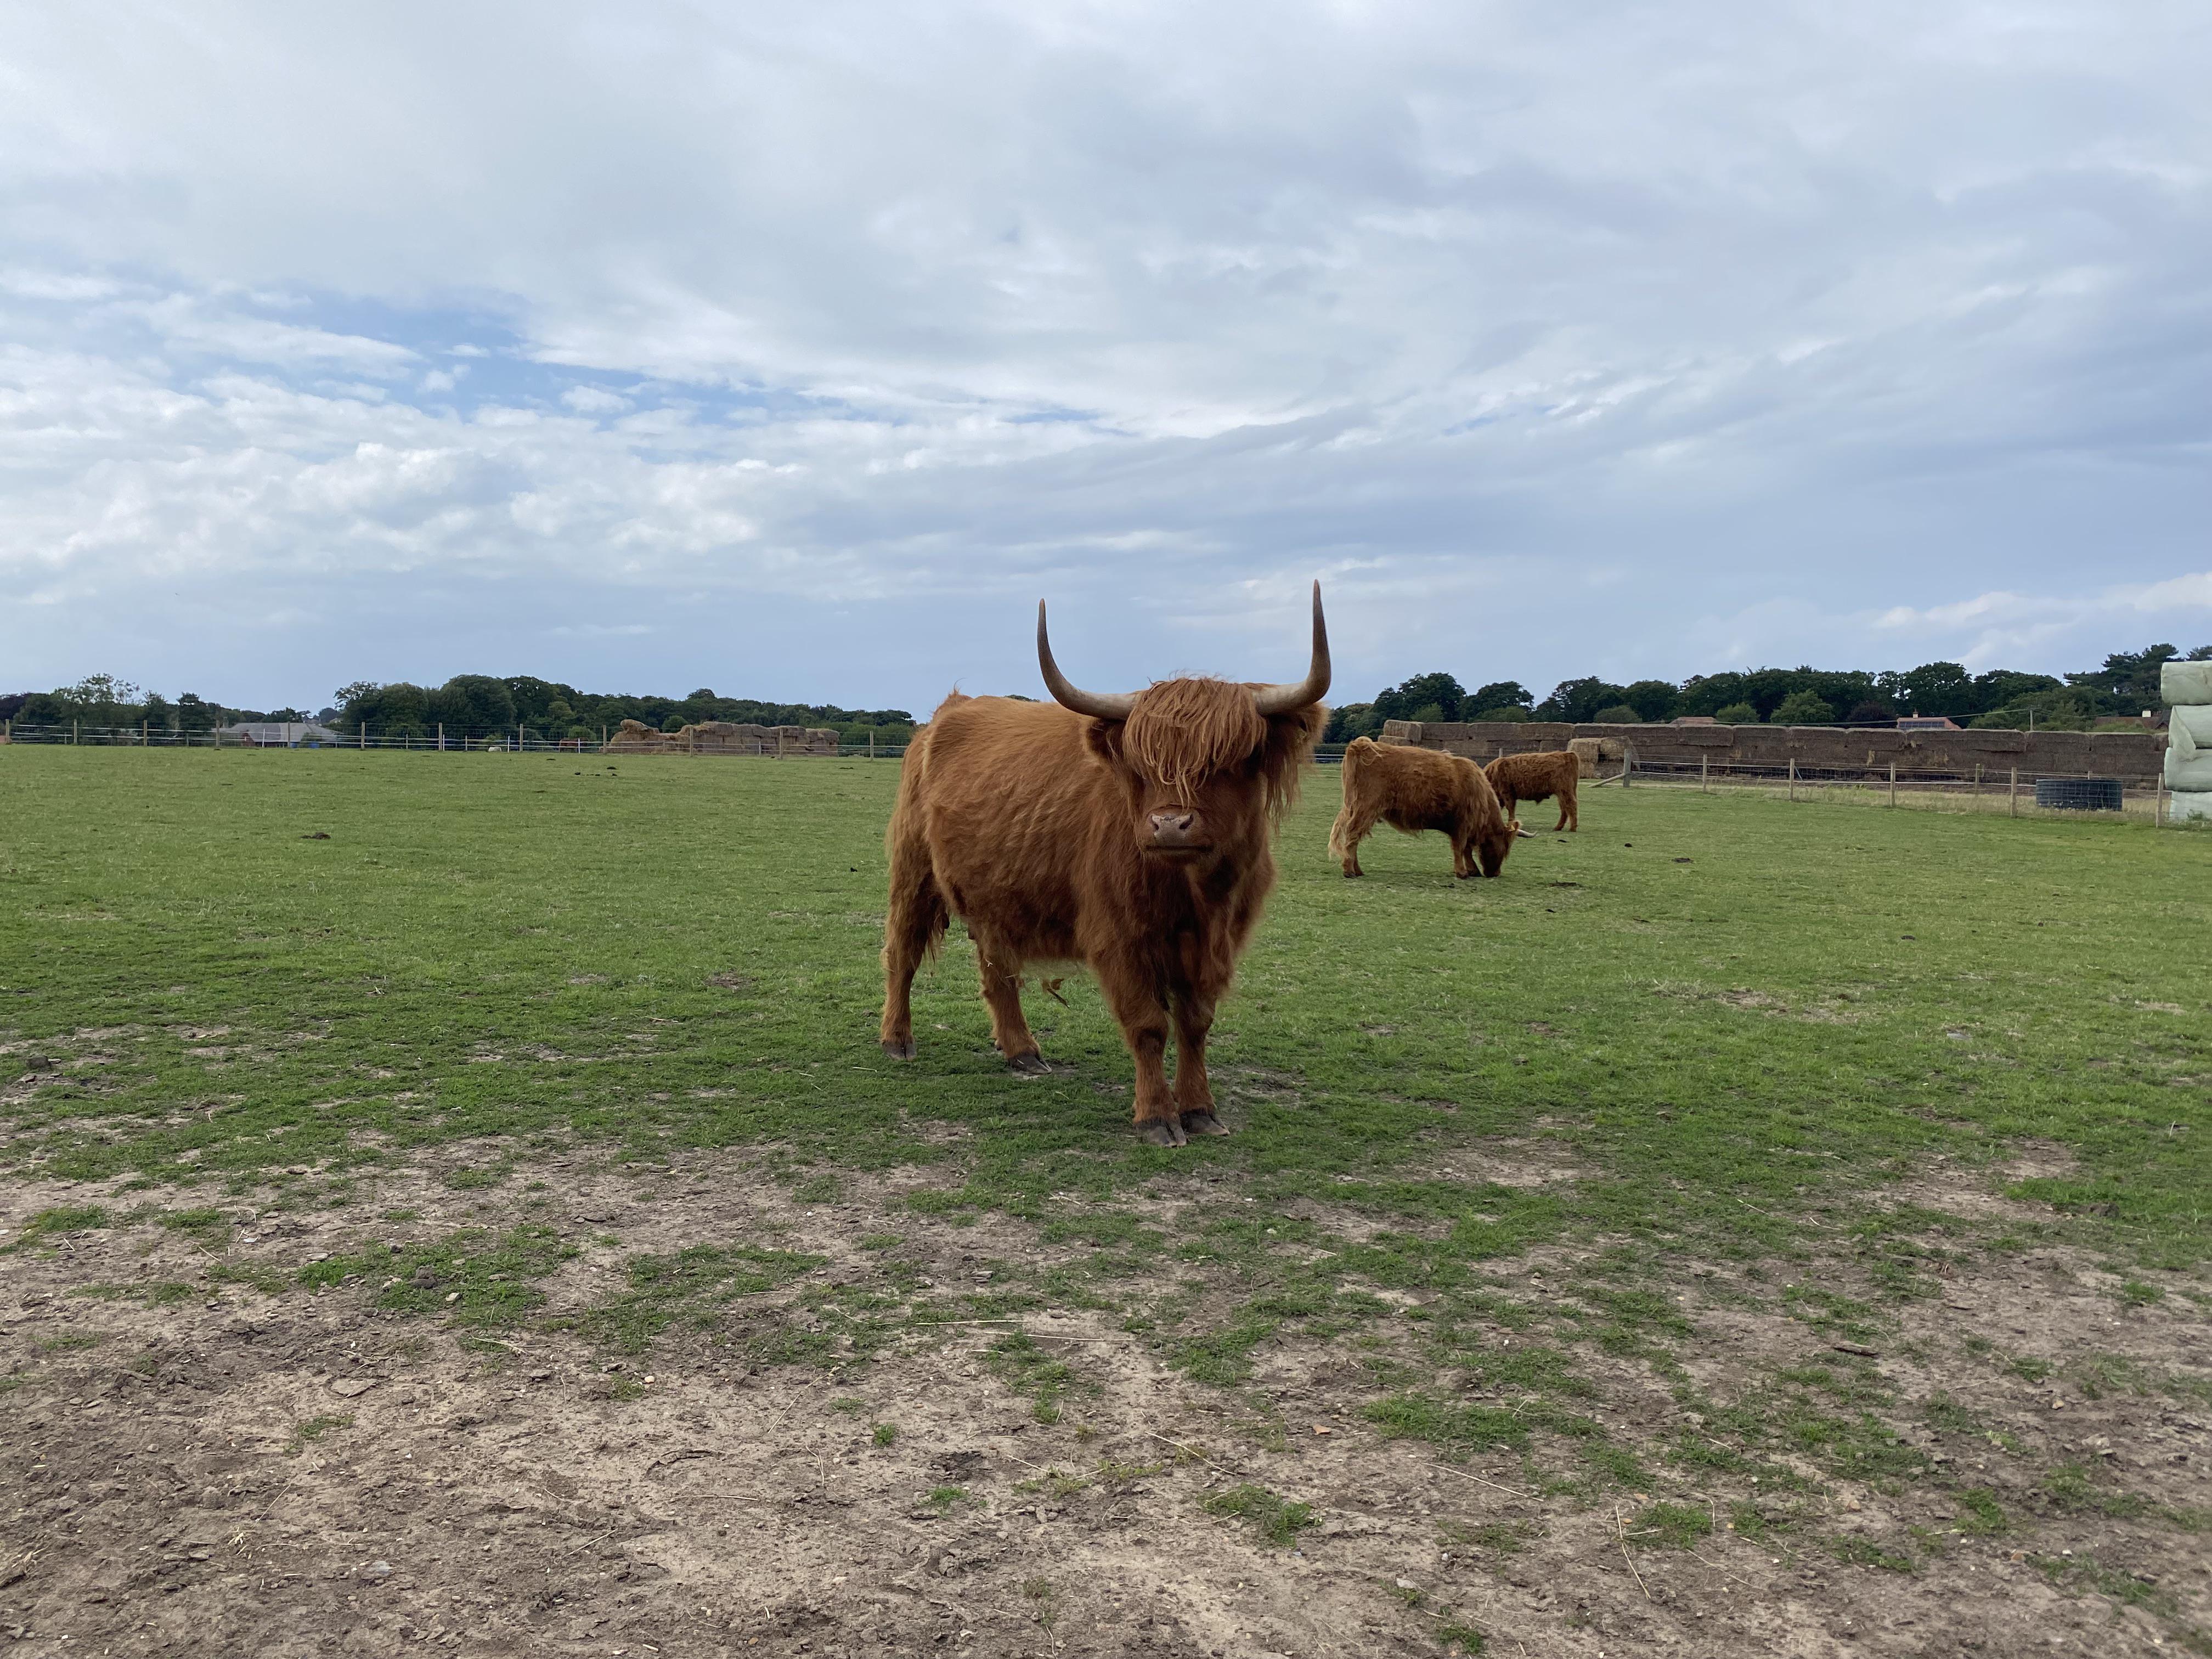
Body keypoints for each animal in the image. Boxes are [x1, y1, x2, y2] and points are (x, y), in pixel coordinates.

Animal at [878, 585, 1332, 1147]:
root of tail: (951, 709)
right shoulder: (1120, 937)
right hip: (914, 873)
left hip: (992, 894)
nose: (1169, 824)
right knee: (903, 952)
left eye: (1231, 759)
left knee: (997, 968)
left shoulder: (1216, 941)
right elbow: (1149, 1025)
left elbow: (1196, 1023)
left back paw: (1021, 1050)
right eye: (1142, 764)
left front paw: (1201, 1109)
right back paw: (897, 1039)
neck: (1195, 896)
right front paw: (1157, 1116)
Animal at [1328, 736, 1519, 880]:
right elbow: (1461, 848)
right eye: (1505, 849)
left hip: (1357, 809)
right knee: (1352, 835)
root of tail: (1362, 745)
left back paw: (1358, 870)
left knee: (1354, 838)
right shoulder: (1462, 824)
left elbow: (1466, 850)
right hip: (1366, 808)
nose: (1495, 873)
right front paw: (1463, 872)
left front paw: (1472, 871)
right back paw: (1349, 871)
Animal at [1484, 748, 1581, 832]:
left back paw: (1572, 828)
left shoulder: (1507, 793)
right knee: (1564, 808)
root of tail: (1567, 755)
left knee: (1570, 805)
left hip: (1564, 791)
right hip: (1563, 792)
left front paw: (1510, 825)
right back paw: (1558, 828)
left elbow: (1511, 809)